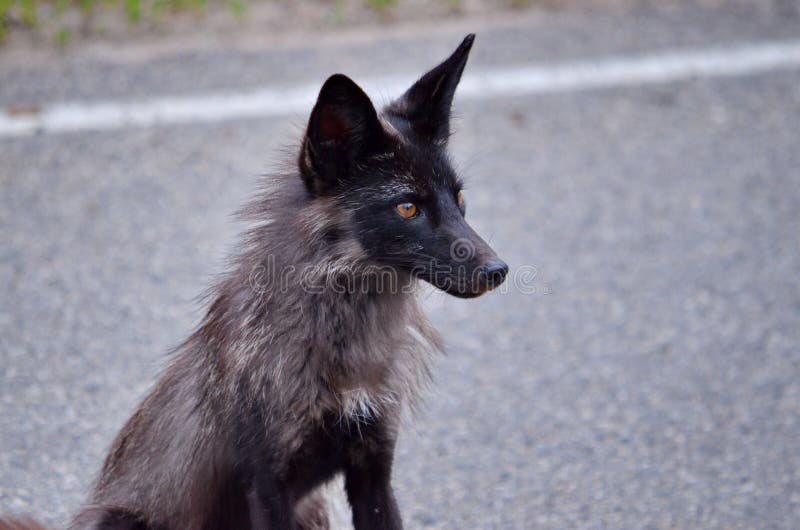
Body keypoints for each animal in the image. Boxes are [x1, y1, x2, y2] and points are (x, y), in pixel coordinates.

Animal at [2, 33, 507, 530]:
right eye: (408, 207)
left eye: (460, 199)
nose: (497, 271)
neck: (342, 345)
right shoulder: (267, 482)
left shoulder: (373, 468)